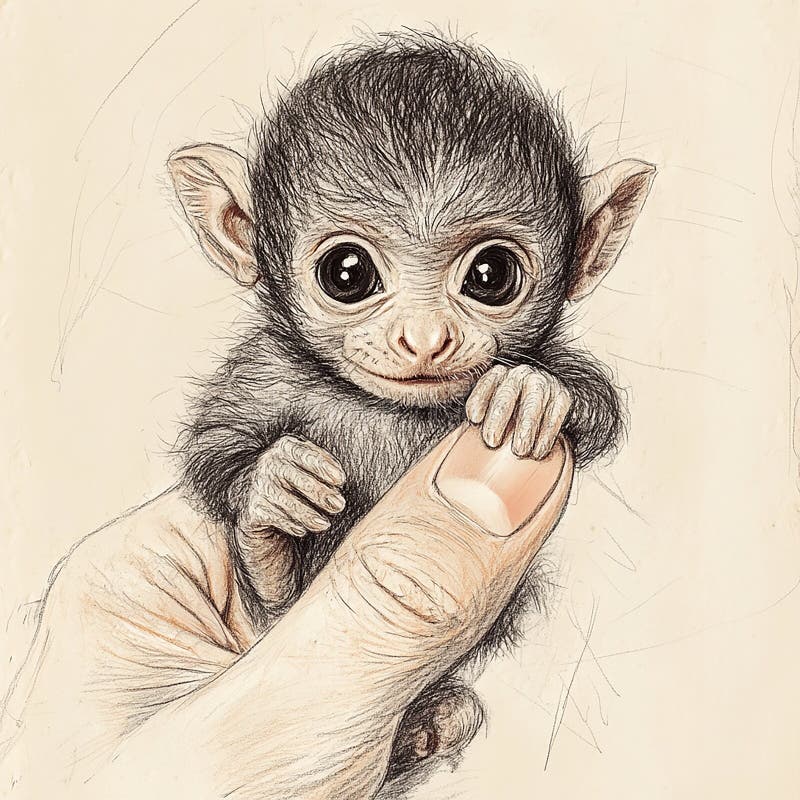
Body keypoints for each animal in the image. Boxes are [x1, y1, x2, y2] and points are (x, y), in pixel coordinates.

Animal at [168, 32, 654, 785]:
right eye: (347, 273)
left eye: (491, 274)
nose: (424, 337)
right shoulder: (266, 368)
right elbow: (214, 442)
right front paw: (272, 490)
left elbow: (595, 408)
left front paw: (532, 393)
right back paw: (269, 554)